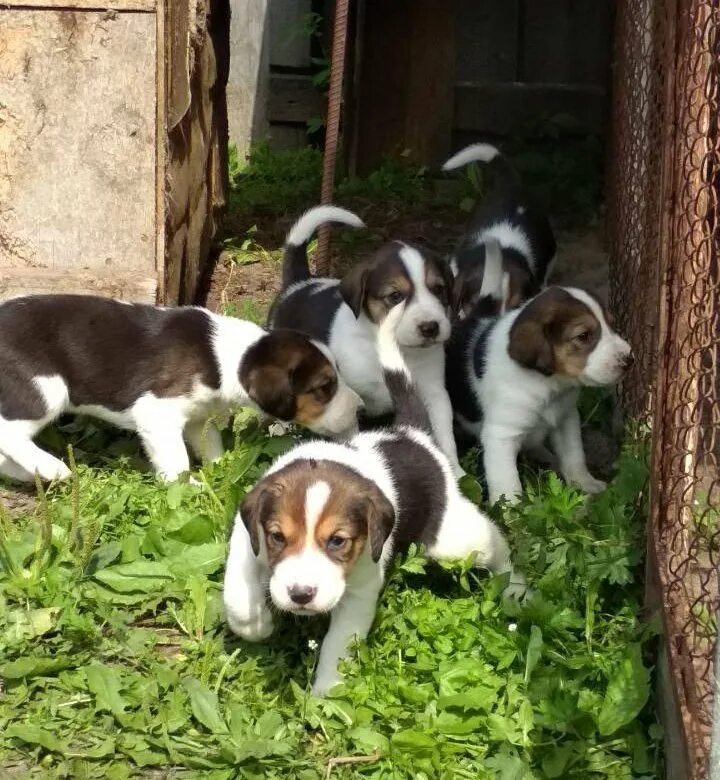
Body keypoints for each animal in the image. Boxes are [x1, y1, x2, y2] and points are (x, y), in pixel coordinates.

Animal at [0, 296, 360, 484]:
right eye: (324, 387)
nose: (359, 409)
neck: (225, 357)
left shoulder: (198, 418)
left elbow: (211, 445)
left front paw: (221, 470)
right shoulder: (157, 414)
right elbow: (178, 464)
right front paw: (192, 487)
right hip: (44, 390)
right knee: (9, 434)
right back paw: (50, 468)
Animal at [222, 298, 524, 696]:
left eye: (338, 541)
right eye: (277, 537)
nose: (300, 594)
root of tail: (412, 433)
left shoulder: (361, 590)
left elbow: (338, 646)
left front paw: (325, 697)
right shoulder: (247, 536)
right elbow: (237, 587)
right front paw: (254, 623)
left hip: (452, 540)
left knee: (497, 544)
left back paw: (516, 588)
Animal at [268, 204, 464, 478]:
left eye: (439, 289)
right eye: (395, 296)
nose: (430, 327)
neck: (397, 349)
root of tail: (298, 283)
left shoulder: (434, 392)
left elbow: (445, 435)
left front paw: (455, 471)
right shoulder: (345, 402)